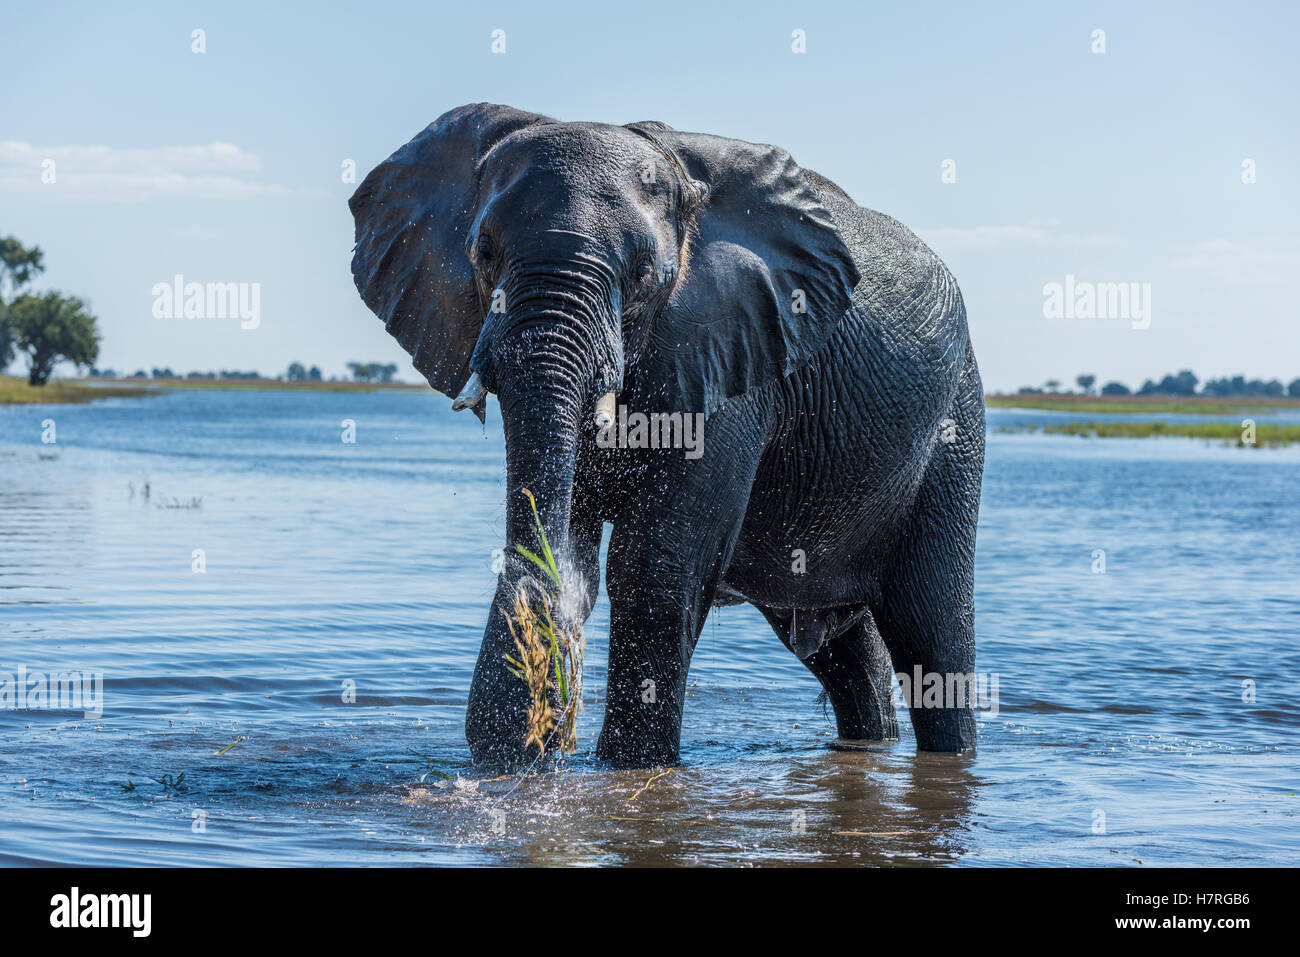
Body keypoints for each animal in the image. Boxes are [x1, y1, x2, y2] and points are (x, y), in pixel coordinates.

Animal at [349, 103, 984, 769]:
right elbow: (577, 544)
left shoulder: (728, 353)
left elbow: (654, 565)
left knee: (931, 629)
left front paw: (628, 766)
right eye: (483, 252)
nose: (528, 745)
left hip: (953, 426)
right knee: (844, 652)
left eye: (643, 273)